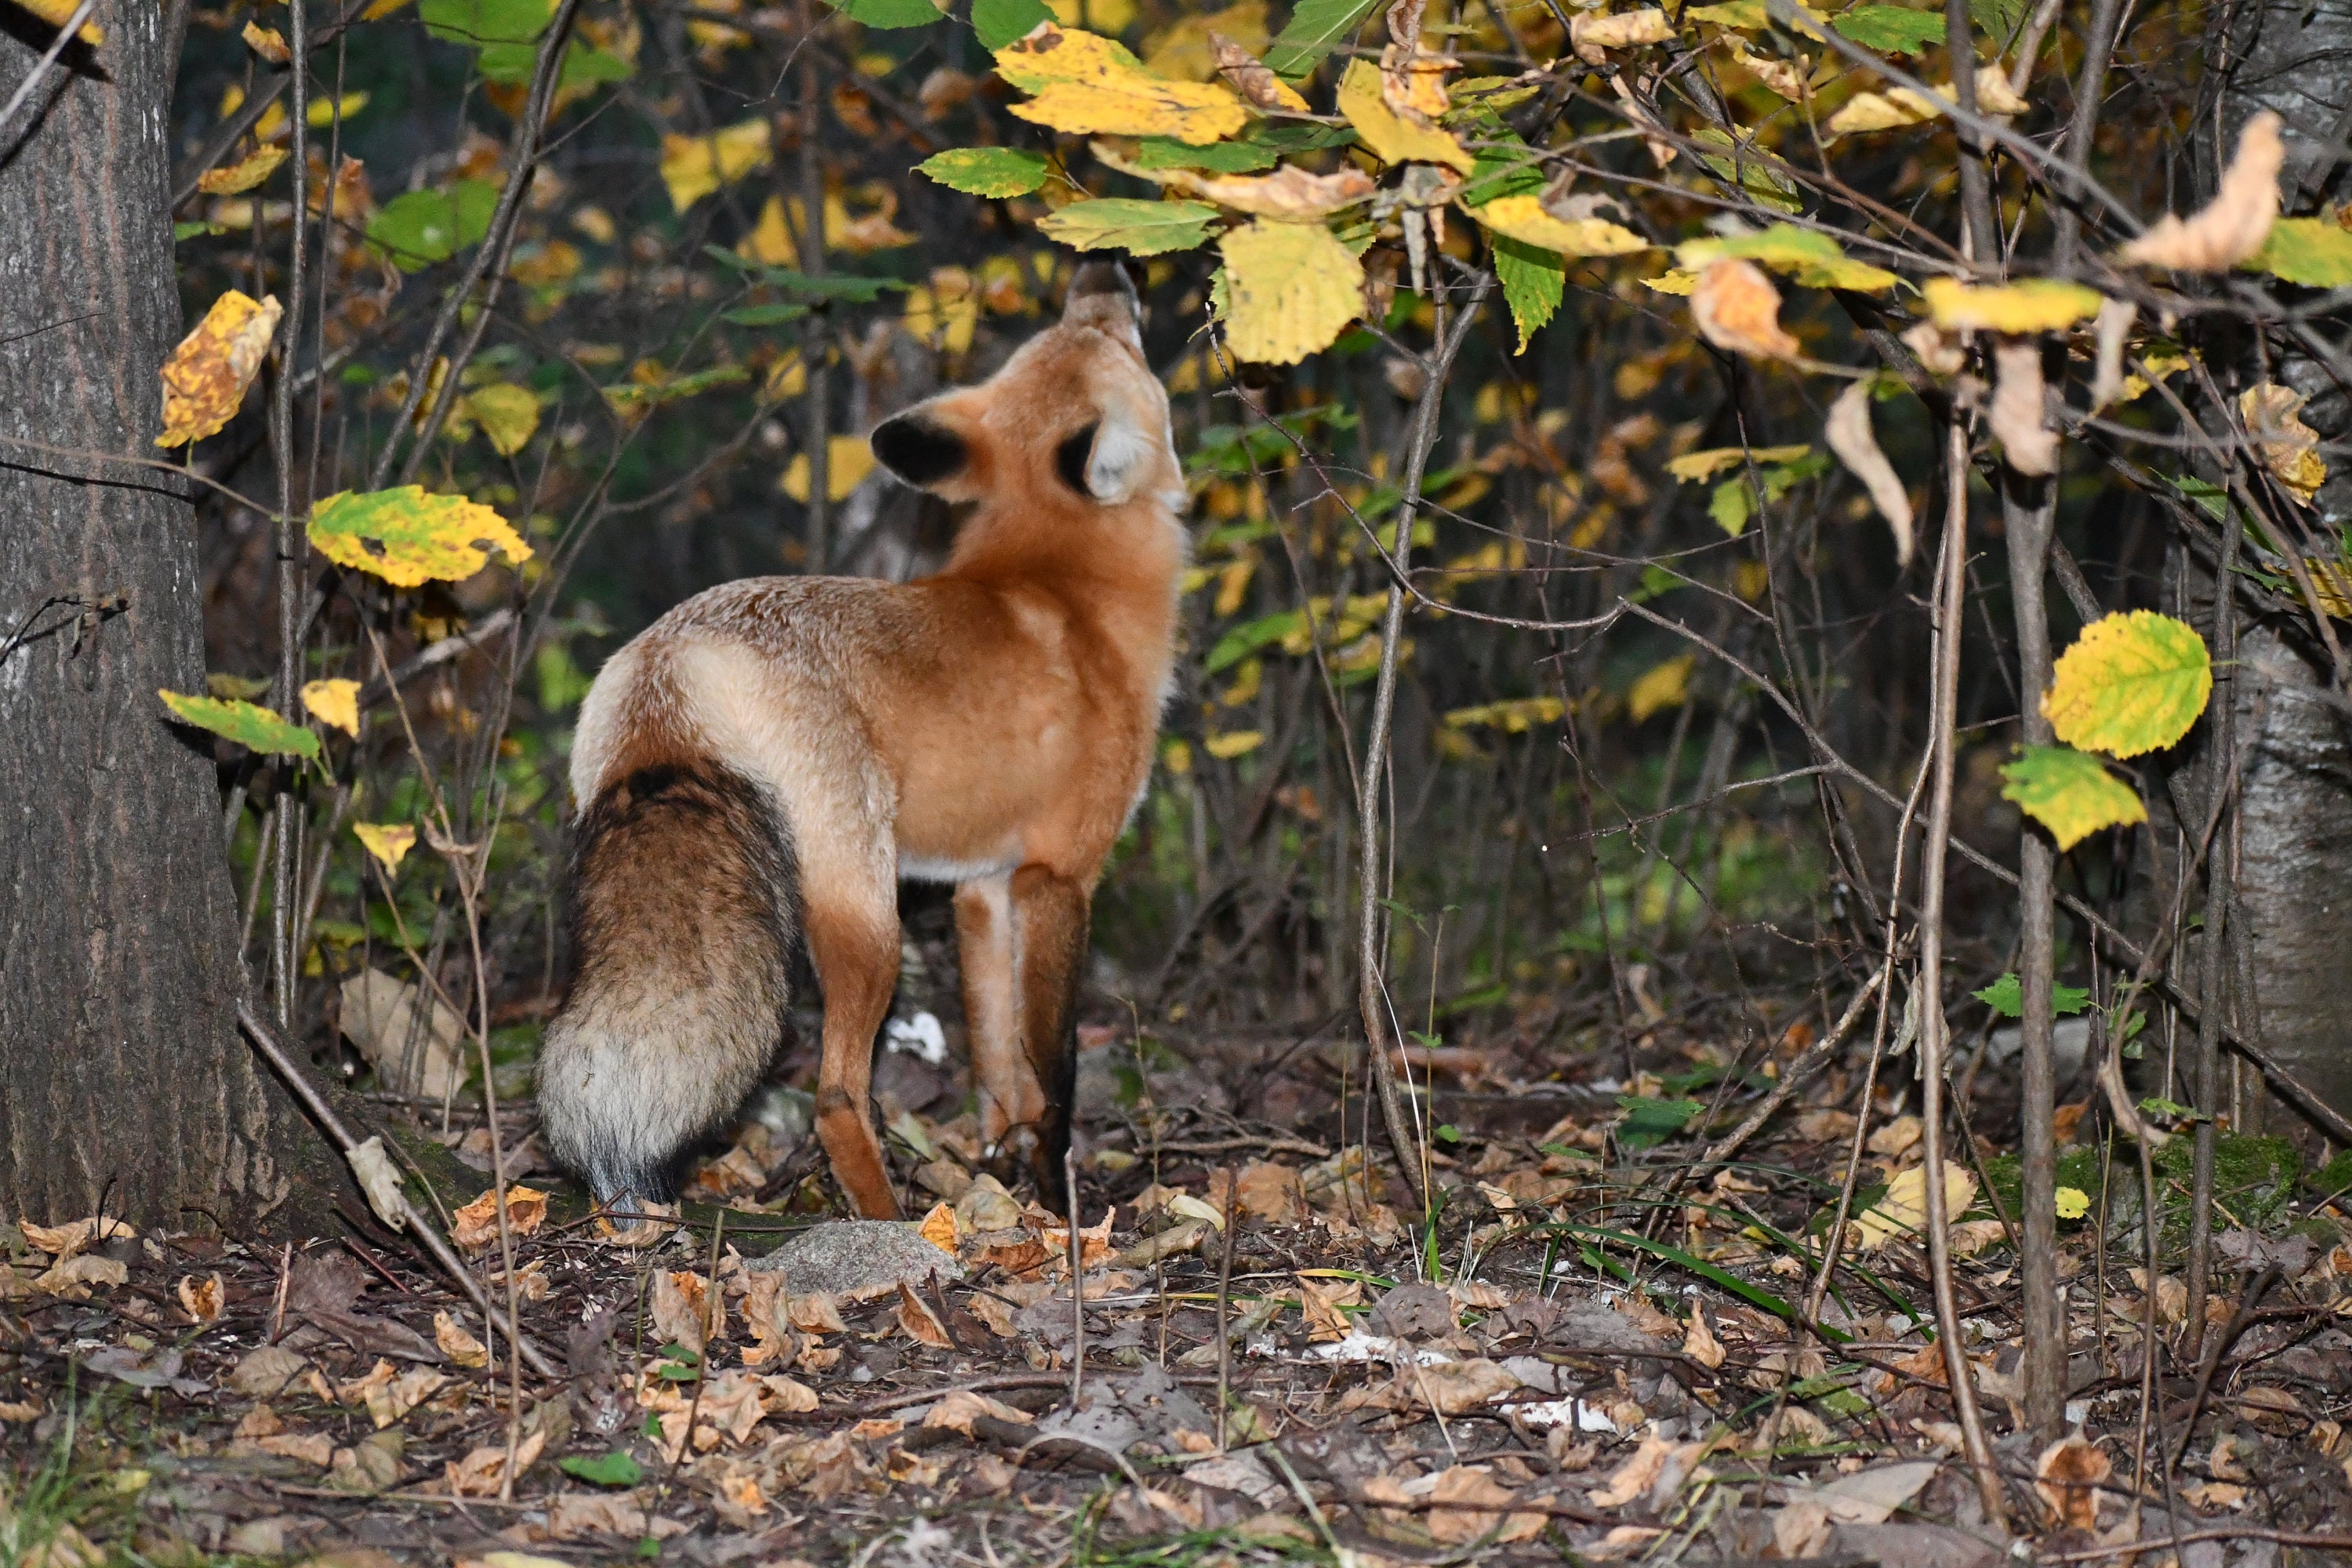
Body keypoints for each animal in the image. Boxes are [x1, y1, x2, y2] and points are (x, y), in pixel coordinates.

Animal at [537, 262, 1187, 1220]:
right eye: (1113, 340)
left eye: (1080, 330)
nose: (1101, 271)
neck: (1067, 587)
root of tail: (677, 651)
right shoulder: (1059, 876)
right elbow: (1056, 1070)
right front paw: (1057, 1198)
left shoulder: (982, 890)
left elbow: (998, 1064)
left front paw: (1002, 1168)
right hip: (870, 914)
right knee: (838, 1094)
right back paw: (897, 1231)